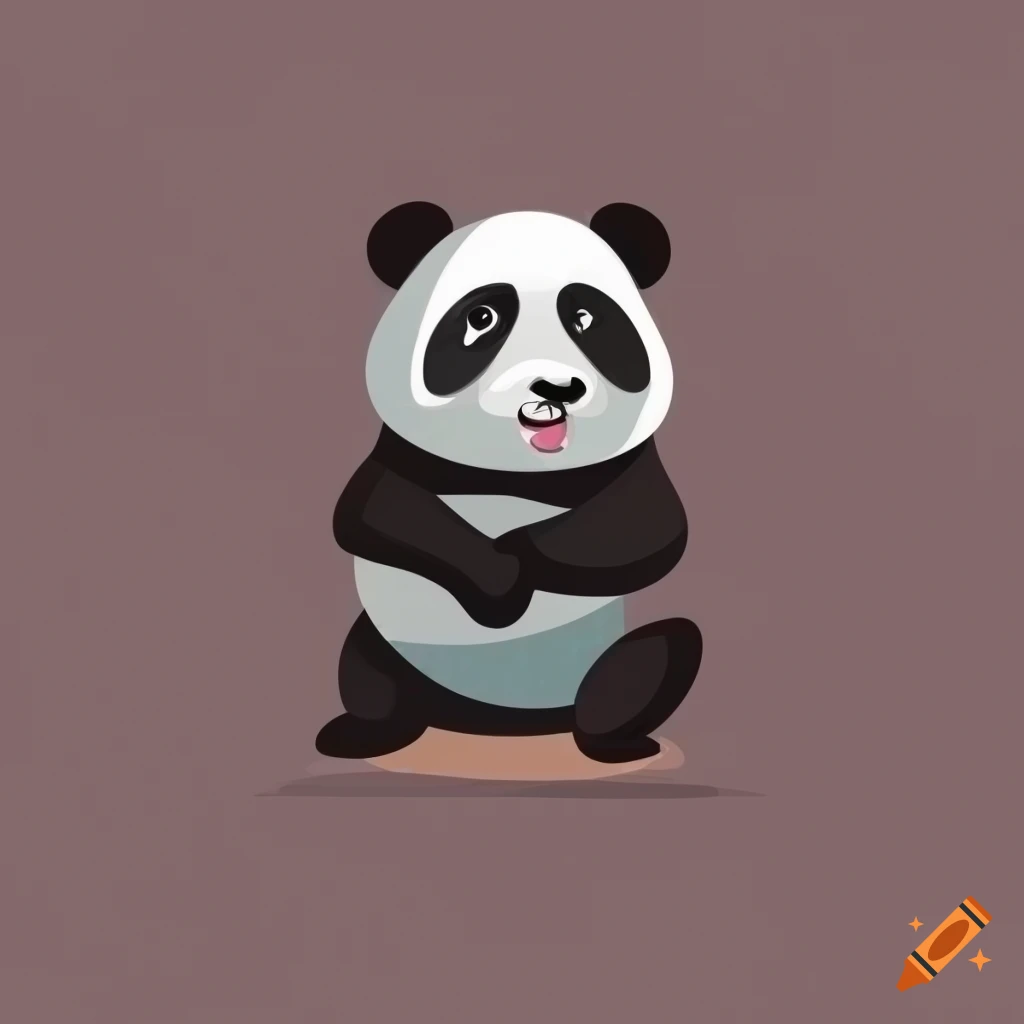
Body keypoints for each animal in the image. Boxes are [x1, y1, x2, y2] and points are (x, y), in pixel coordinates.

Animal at [317, 201, 703, 765]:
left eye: (585, 319)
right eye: (483, 318)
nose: (557, 387)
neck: (517, 469)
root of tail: (501, 722)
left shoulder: (634, 461)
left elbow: (644, 526)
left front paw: (516, 562)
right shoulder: (402, 452)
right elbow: (375, 510)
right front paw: (499, 583)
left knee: (659, 652)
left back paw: (616, 741)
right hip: (385, 642)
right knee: (365, 670)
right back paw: (361, 734)